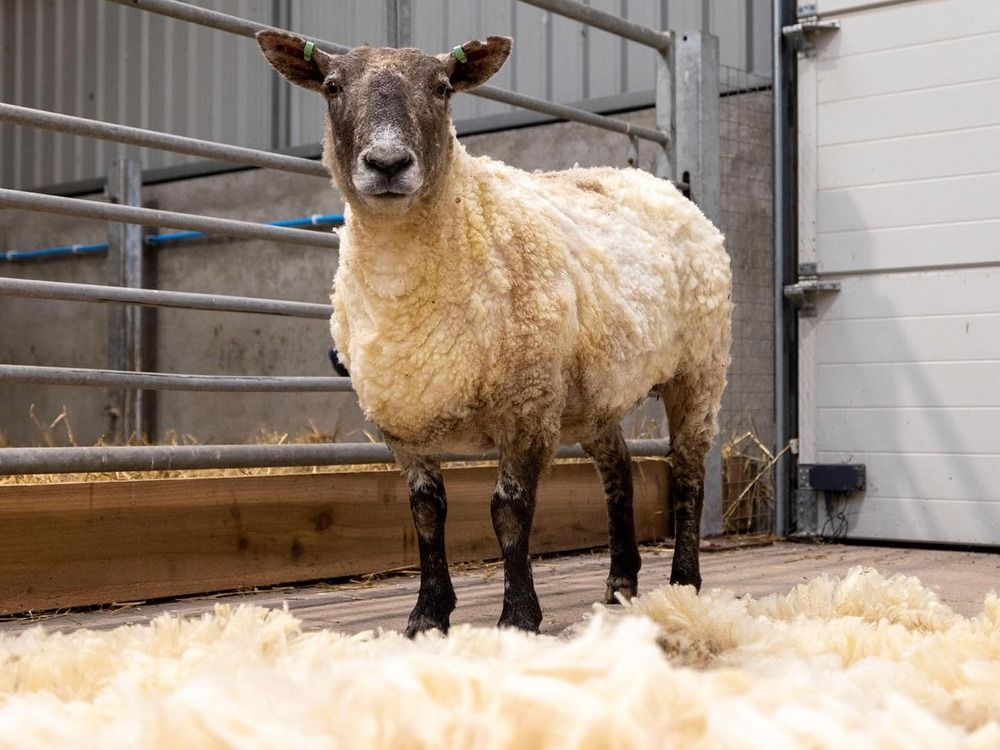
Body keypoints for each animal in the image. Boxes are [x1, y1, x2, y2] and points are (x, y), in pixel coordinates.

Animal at [257, 32, 732, 636]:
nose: (387, 163)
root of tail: (659, 185)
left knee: (689, 472)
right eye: (333, 87)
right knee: (619, 470)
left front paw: (518, 616)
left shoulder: (526, 406)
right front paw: (427, 615)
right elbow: (426, 513)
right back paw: (620, 583)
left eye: (442, 88)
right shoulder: (402, 418)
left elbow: (509, 511)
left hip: (699, 366)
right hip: (591, 392)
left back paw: (684, 583)